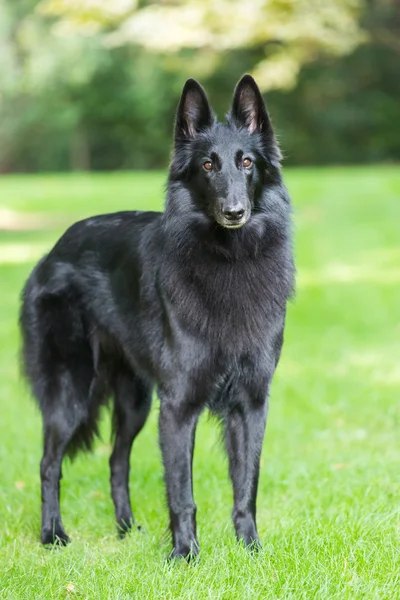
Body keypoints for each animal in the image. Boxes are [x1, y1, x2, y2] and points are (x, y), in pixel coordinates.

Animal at [19, 74, 294, 556]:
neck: (230, 259)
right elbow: (182, 493)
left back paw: (126, 528)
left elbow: (247, 486)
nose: (235, 212)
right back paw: (53, 534)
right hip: (71, 393)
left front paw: (250, 552)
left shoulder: (250, 402)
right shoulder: (179, 407)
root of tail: (52, 252)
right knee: (49, 463)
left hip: (135, 402)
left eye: (246, 162)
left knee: (116, 459)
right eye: (207, 165)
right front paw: (185, 556)